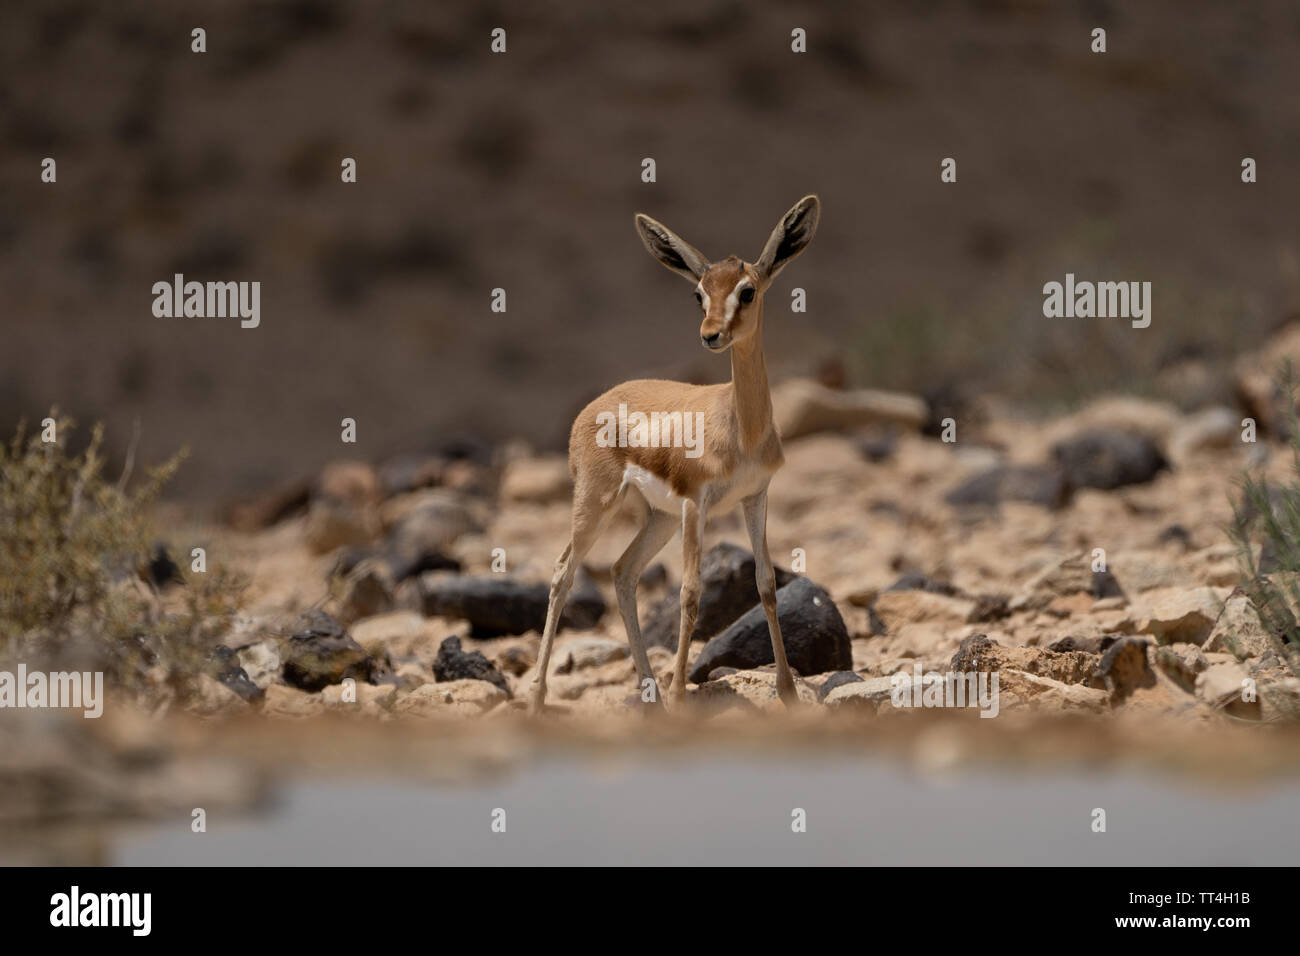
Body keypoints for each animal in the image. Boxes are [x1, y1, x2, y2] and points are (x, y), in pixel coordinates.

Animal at [528, 195, 820, 715]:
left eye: (747, 291)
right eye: (698, 294)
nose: (710, 334)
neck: (739, 428)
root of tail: (593, 406)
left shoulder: (755, 496)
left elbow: (766, 584)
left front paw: (787, 691)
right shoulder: (693, 502)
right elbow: (689, 593)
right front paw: (683, 694)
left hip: (657, 518)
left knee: (623, 572)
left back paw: (651, 697)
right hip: (598, 504)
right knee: (564, 572)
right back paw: (539, 698)